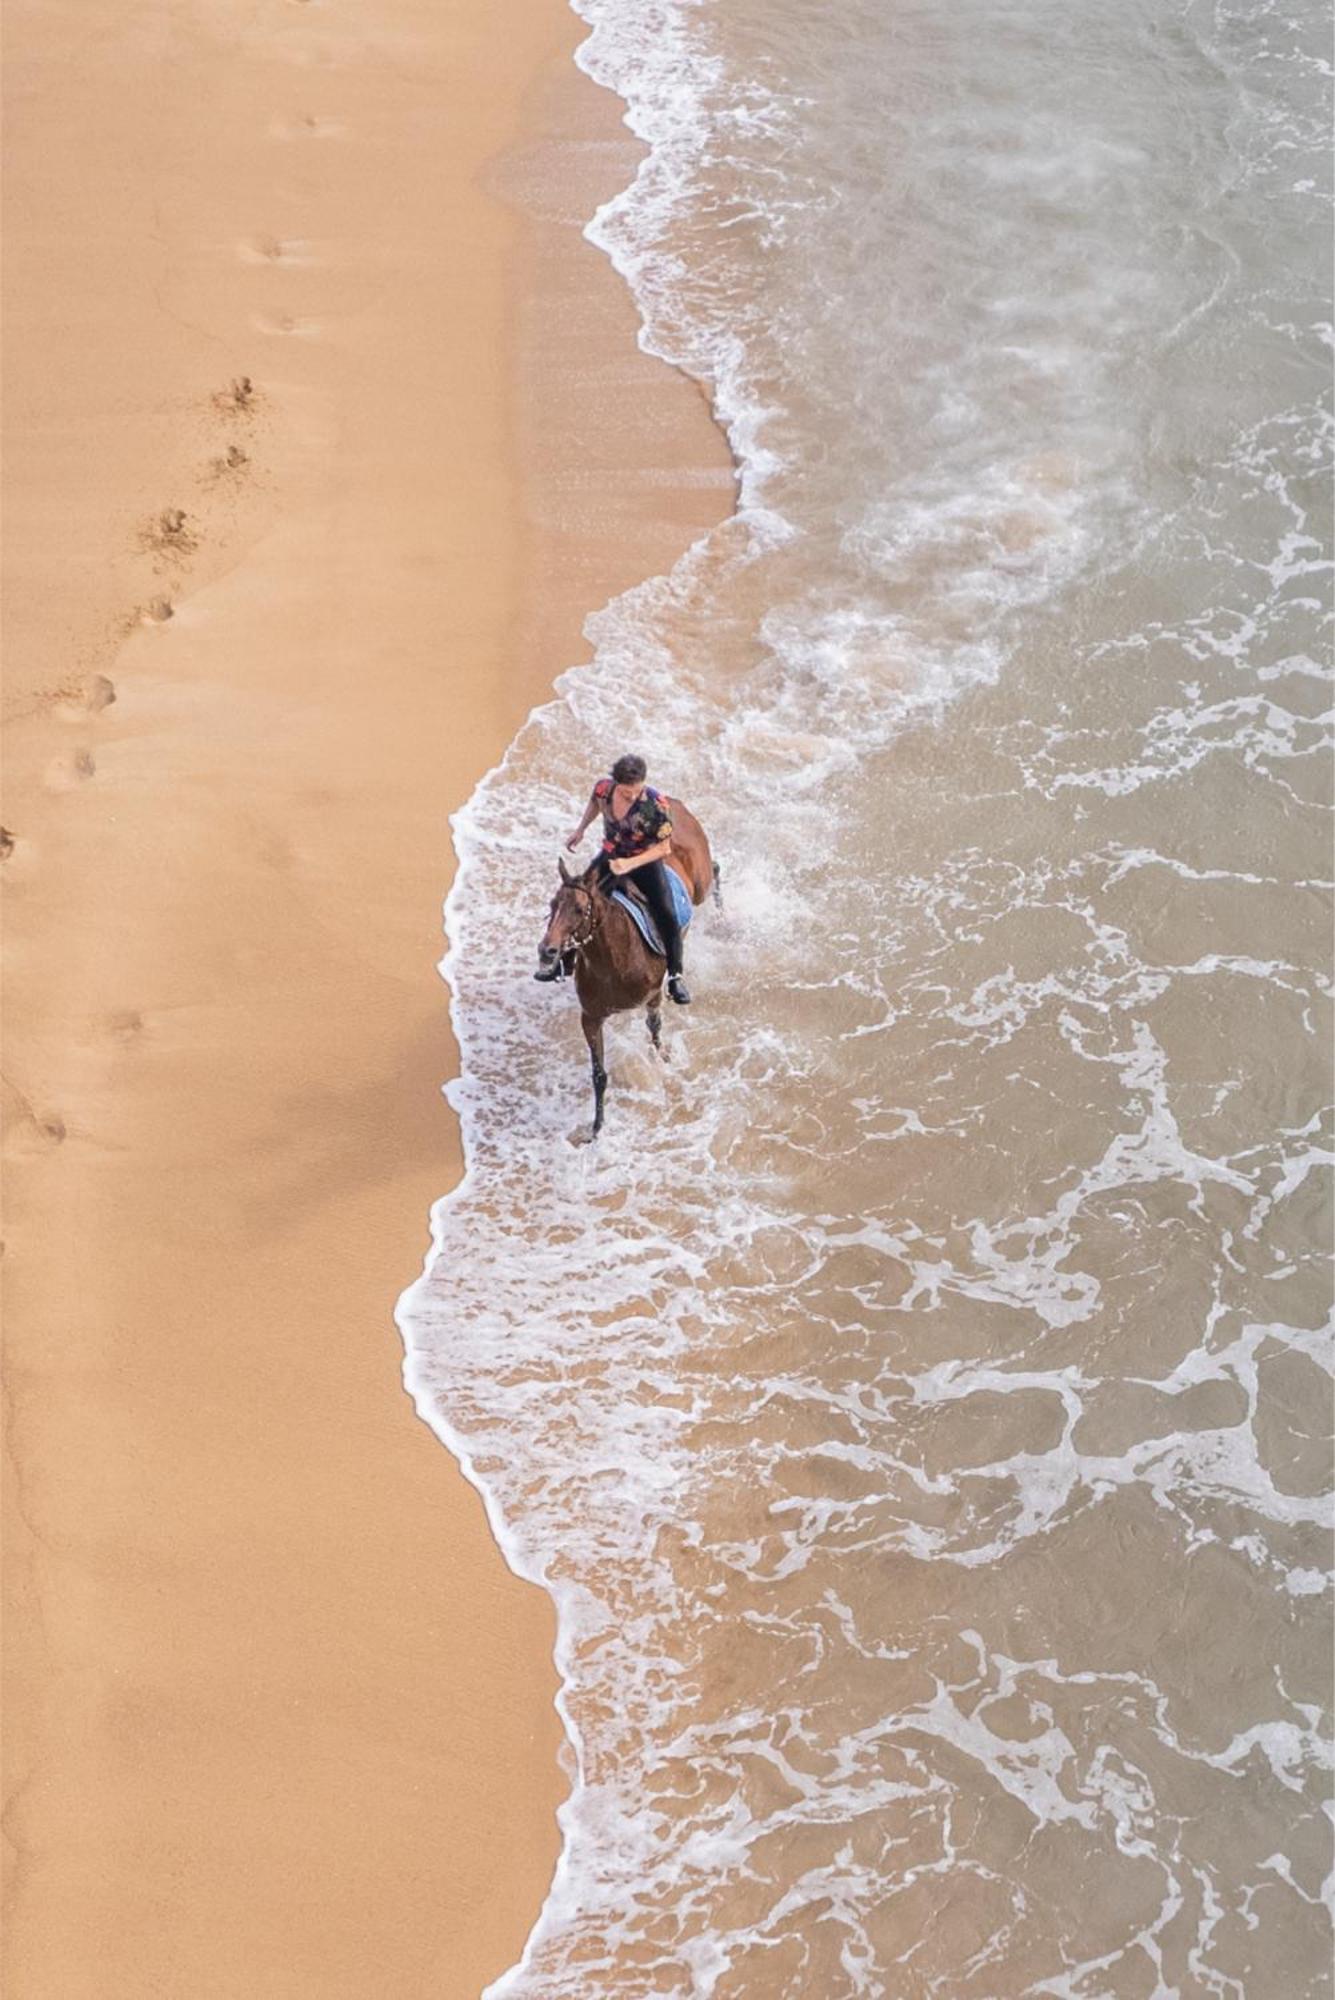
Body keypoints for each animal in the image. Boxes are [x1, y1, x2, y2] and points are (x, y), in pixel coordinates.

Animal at [535, 800, 715, 1144]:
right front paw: (596, 1129)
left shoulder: (653, 996)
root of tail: (675, 804)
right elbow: (599, 1075)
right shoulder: (591, 1016)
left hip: (700, 883)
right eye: (552, 905)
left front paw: (665, 1064)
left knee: (716, 873)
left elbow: (655, 1032)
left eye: (579, 909)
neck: (614, 963)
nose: (547, 951)